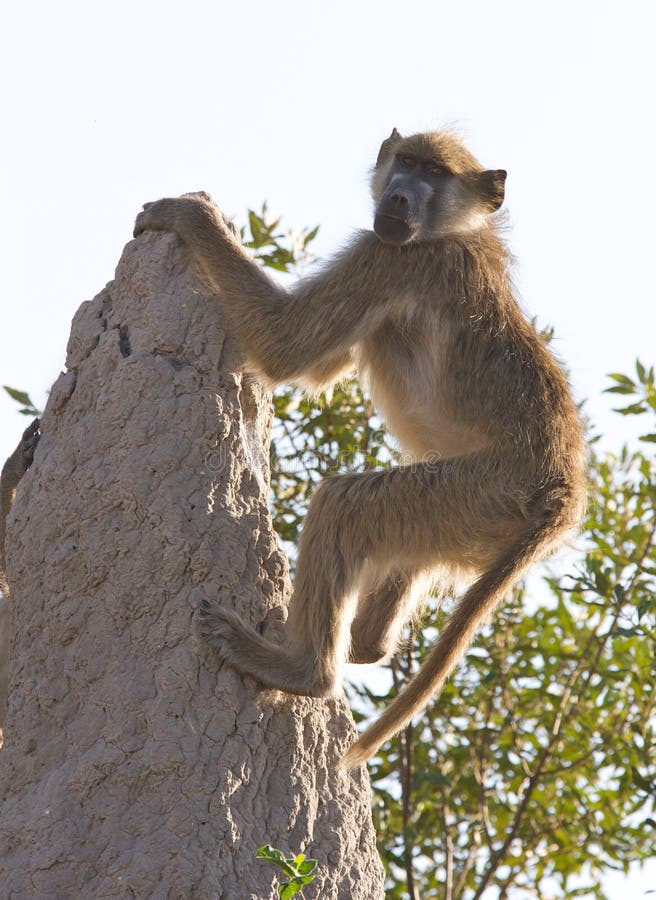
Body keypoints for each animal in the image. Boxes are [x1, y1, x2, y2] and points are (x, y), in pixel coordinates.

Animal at [134, 128, 587, 768]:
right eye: (406, 161)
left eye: (434, 173)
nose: (397, 197)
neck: (453, 233)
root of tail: (563, 490)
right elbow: (313, 365)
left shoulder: (389, 257)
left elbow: (284, 347)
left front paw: (190, 214)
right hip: (471, 519)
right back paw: (362, 642)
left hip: (483, 492)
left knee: (346, 504)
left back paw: (301, 671)